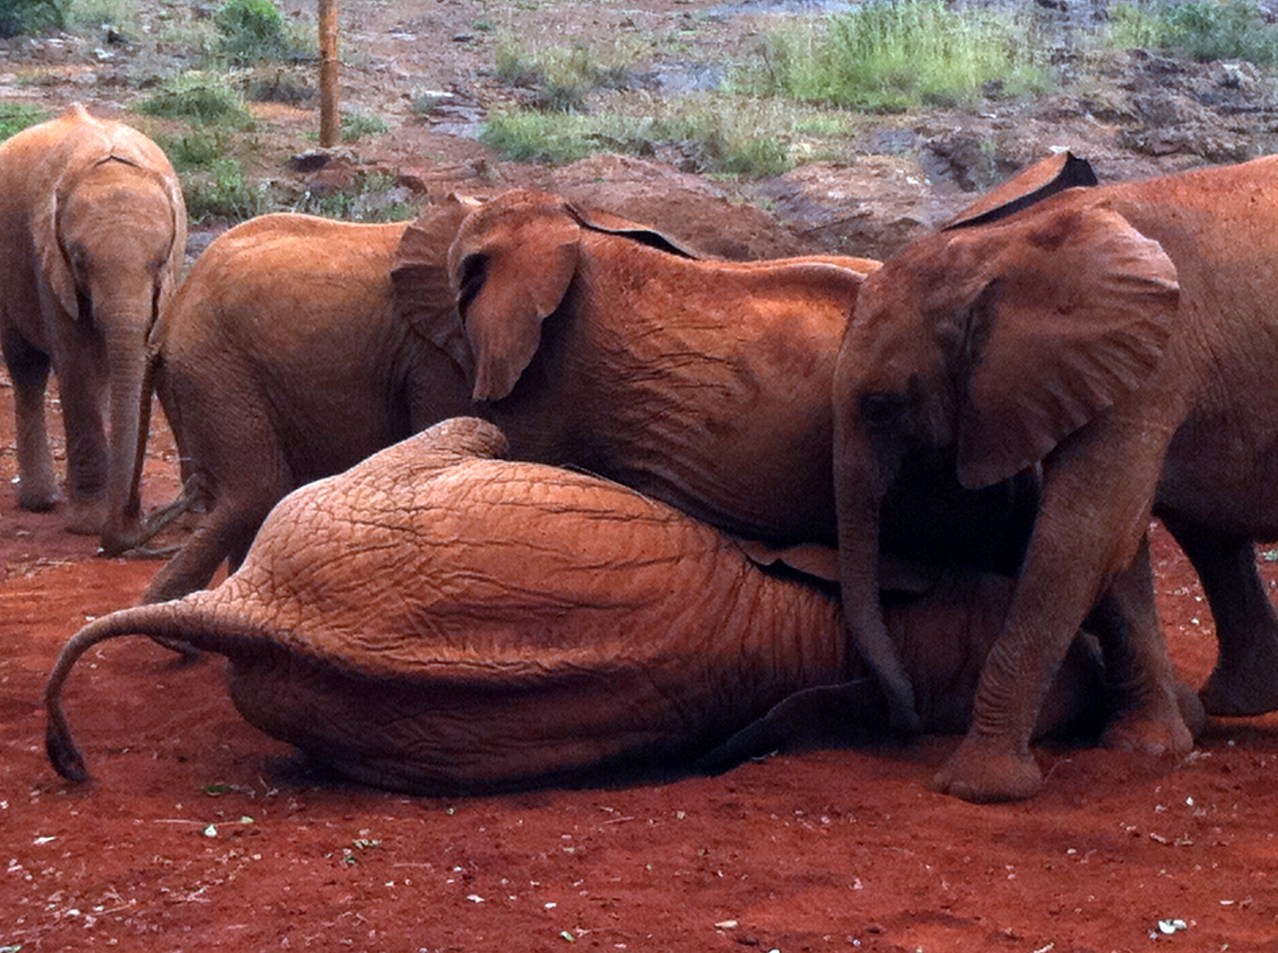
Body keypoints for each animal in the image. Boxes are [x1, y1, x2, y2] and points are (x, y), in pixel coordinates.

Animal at [0, 103, 186, 552]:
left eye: (159, 260)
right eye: (80, 260)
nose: (138, 517)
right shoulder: (48, 260)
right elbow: (76, 363)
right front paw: (87, 525)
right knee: (27, 367)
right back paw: (42, 501)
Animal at [832, 150, 1278, 802]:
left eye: (880, 407)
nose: (905, 724)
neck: (1004, 247)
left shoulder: (1156, 364)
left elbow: (1082, 535)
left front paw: (978, 788)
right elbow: (1113, 550)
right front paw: (1147, 748)